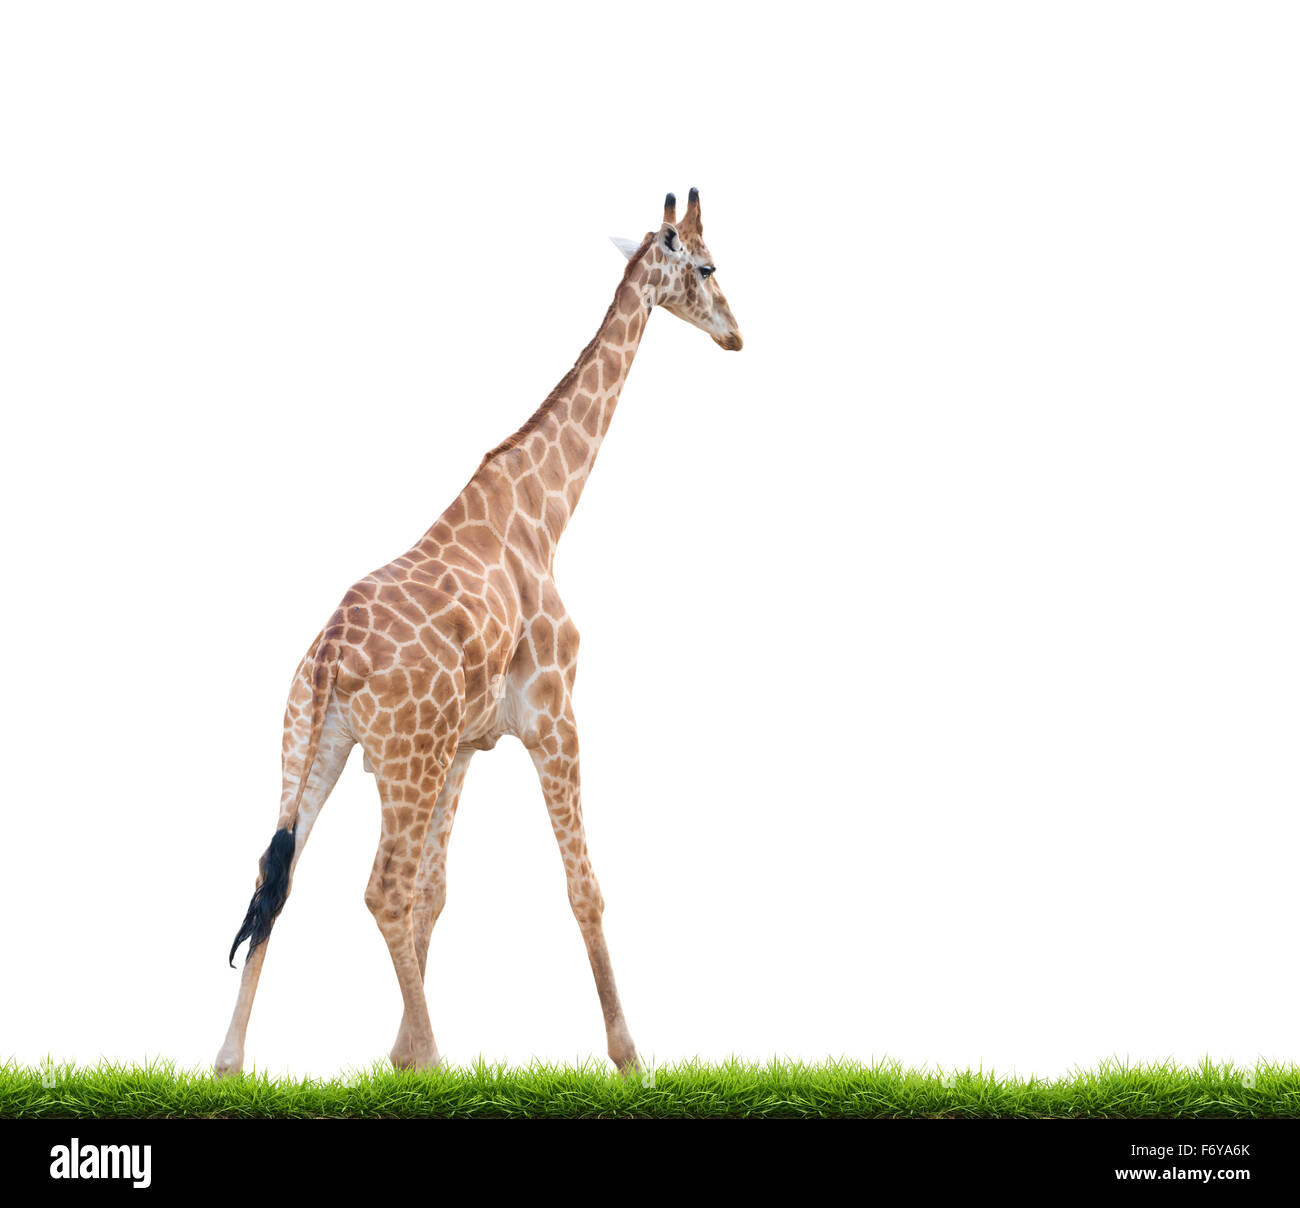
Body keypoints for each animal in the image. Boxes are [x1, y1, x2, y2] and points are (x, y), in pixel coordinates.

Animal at [215, 188, 742, 1076]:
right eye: (706, 266)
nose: (737, 331)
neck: (544, 511)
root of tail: (329, 654)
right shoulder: (553, 713)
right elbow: (582, 886)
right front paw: (629, 1058)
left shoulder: (465, 745)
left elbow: (437, 893)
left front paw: (398, 1056)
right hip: (401, 757)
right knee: (379, 887)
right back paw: (439, 1057)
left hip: (315, 749)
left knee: (273, 876)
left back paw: (230, 1063)